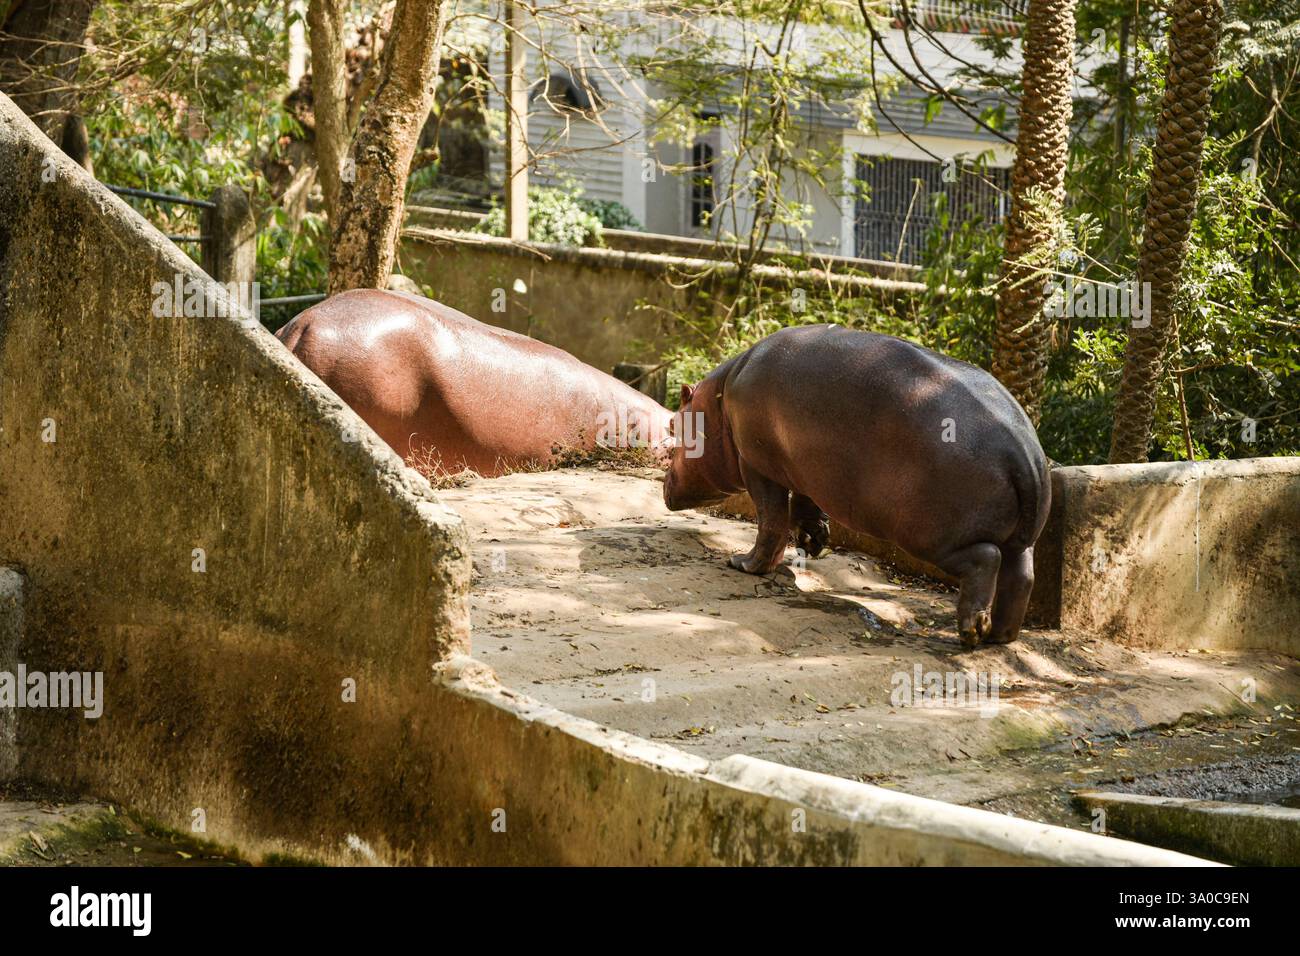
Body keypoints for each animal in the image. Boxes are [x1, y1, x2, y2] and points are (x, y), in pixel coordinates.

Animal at [663, 325, 1051, 647]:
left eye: (672, 425)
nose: (664, 482)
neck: (718, 400)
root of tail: (1025, 453)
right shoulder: (804, 465)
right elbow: (804, 504)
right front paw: (812, 542)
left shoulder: (756, 466)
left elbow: (771, 520)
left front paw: (743, 563)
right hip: (1020, 541)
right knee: (1021, 577)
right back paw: (999, 636)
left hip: (929, 536)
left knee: (986, 559)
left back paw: (970, 632)